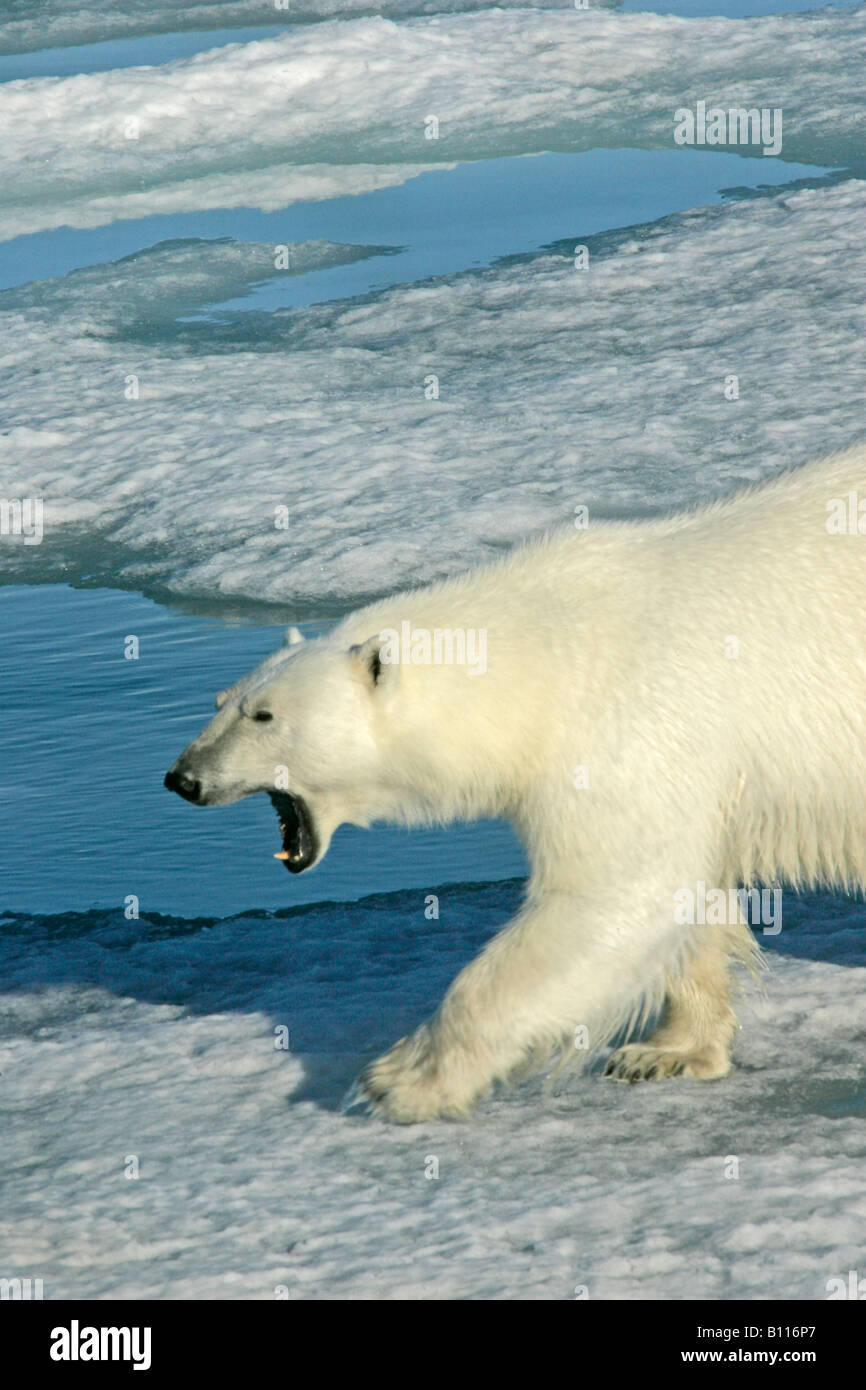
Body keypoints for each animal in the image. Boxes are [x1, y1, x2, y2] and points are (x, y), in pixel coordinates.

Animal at [165, 443, 866, 1123]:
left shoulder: (623, 727)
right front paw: (664, 1051)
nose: (182, 778)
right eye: (221, 701)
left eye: (263, 715)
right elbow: (686, 898)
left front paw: (398, 1083)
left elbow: (614, 892)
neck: (549, 659)